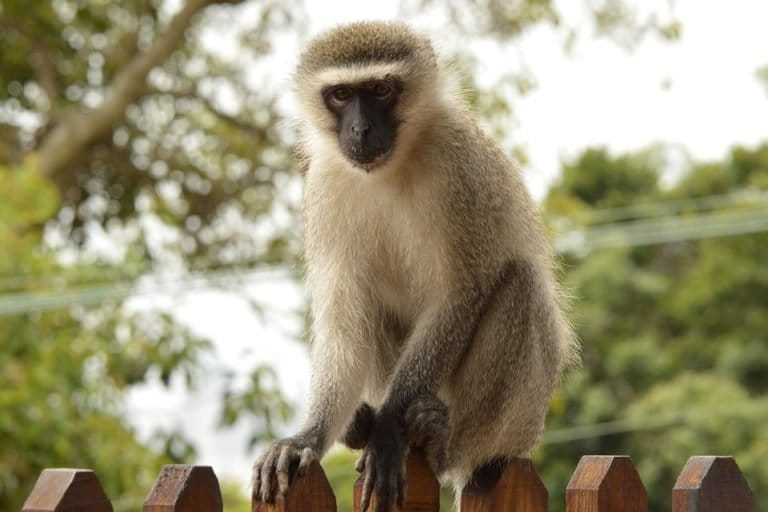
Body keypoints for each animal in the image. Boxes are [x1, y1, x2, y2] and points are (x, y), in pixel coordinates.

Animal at [251, 21, 578, 512]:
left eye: (382, 90)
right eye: (341, 95)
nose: (361, 128)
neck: (394, 164)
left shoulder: (459, 167)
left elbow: (461, 294)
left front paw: (389, 429)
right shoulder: (325, 185)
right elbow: (345, 320)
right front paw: (308, 437)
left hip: (517, 423)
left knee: (519, 285)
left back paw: (439, 444)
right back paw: (361, 427)